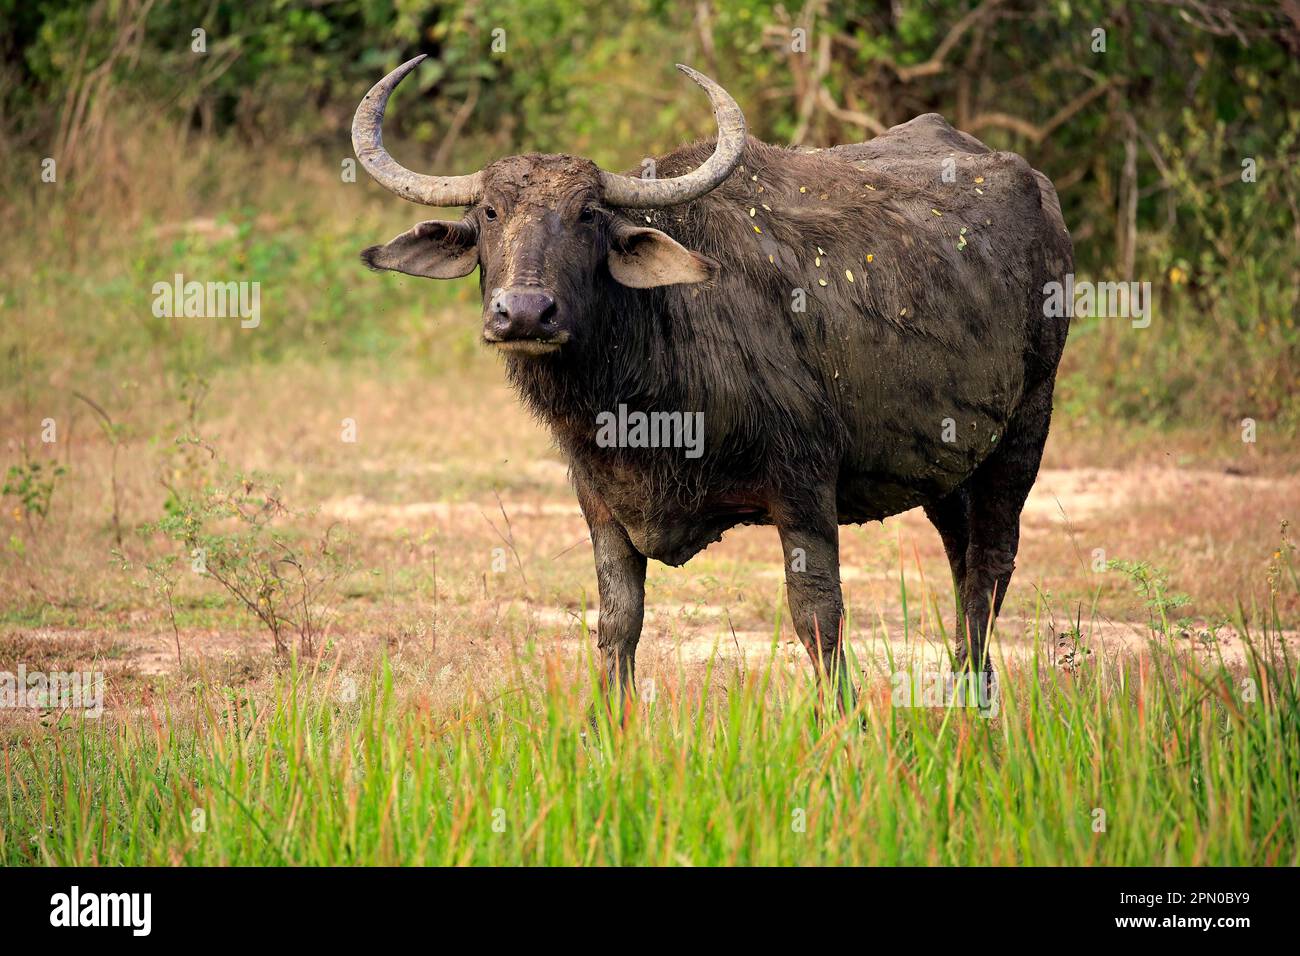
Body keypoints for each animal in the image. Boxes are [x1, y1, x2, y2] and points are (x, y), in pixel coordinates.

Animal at [354, 57, 1073, 703]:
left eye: (588, 215)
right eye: (490, 213)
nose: (525, 312)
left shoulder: (805, 489)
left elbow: (819, 618)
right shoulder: (599, 501)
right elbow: (619, 622)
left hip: (1025, 431)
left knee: (991, 566)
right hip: (947, 465)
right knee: (962, 559)